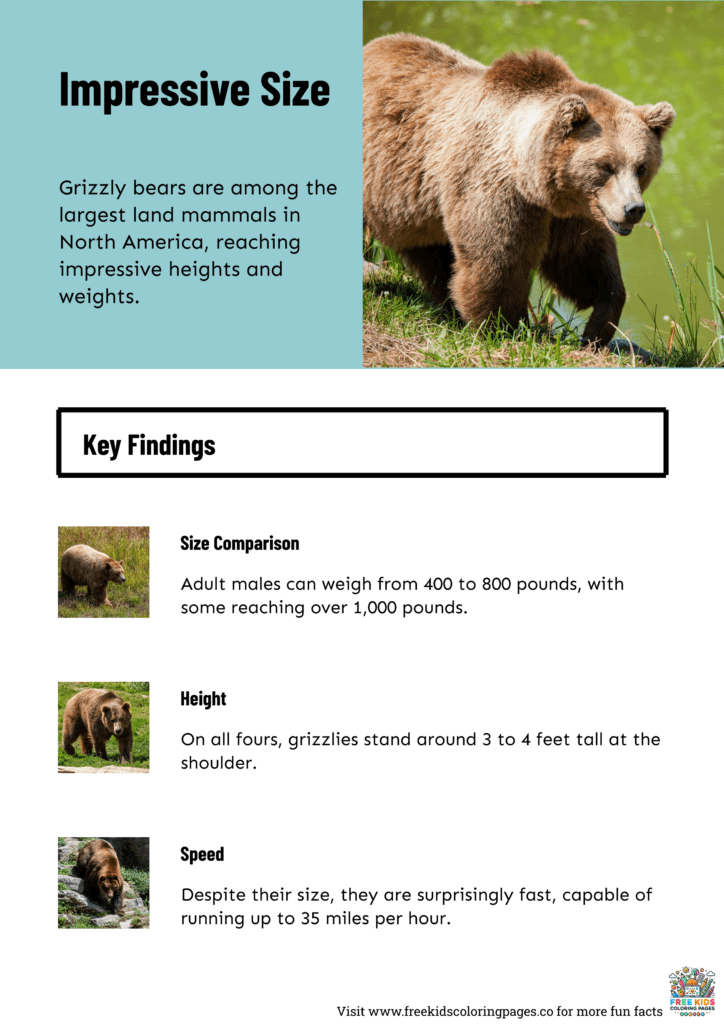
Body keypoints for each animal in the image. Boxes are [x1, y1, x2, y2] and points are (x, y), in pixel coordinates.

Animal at [363, 34, 676, 350]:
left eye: (641, 167)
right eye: (605, 166)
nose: (633, 209)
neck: (532, 179)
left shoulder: (572, 210)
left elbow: (583, 260)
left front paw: (599, 324)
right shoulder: (496, 188)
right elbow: (497, 259)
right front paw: (506, 327)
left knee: (429, 252)